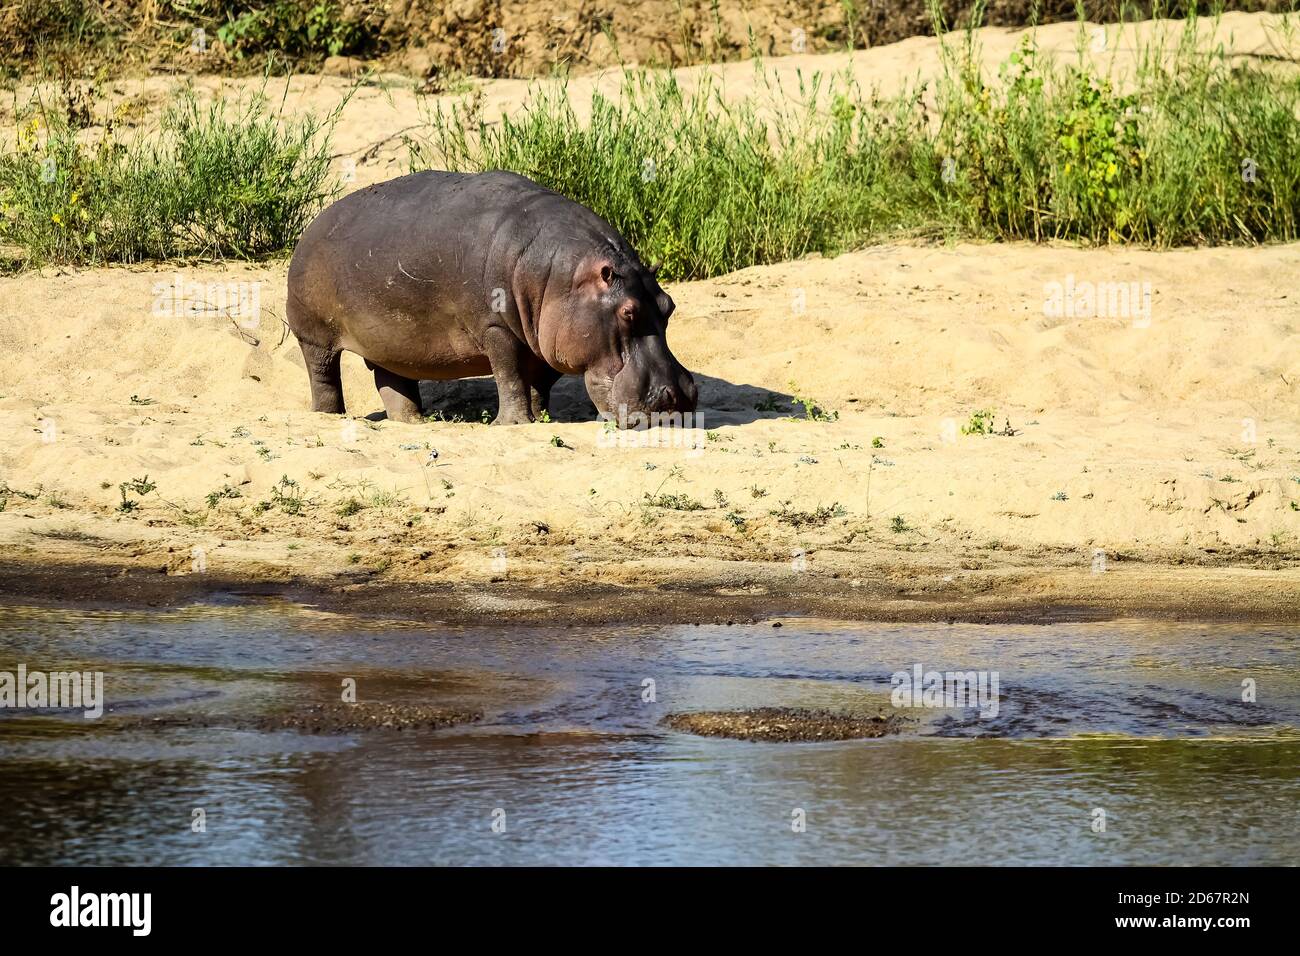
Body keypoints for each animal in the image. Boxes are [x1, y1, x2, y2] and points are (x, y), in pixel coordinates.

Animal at [285, 170, 698, 426]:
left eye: (669, 305)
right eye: (628, 312)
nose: (677, 397)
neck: (563, 280)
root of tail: (314, 223)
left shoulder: (545, 337)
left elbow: (539, 382)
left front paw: (542, 418)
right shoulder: (496, 328)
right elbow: (509, 374)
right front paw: (514, 422)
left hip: (391, 341)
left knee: (393, 382)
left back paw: (415, 422)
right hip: (313, 333)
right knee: (323, 374)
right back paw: (329, 416)